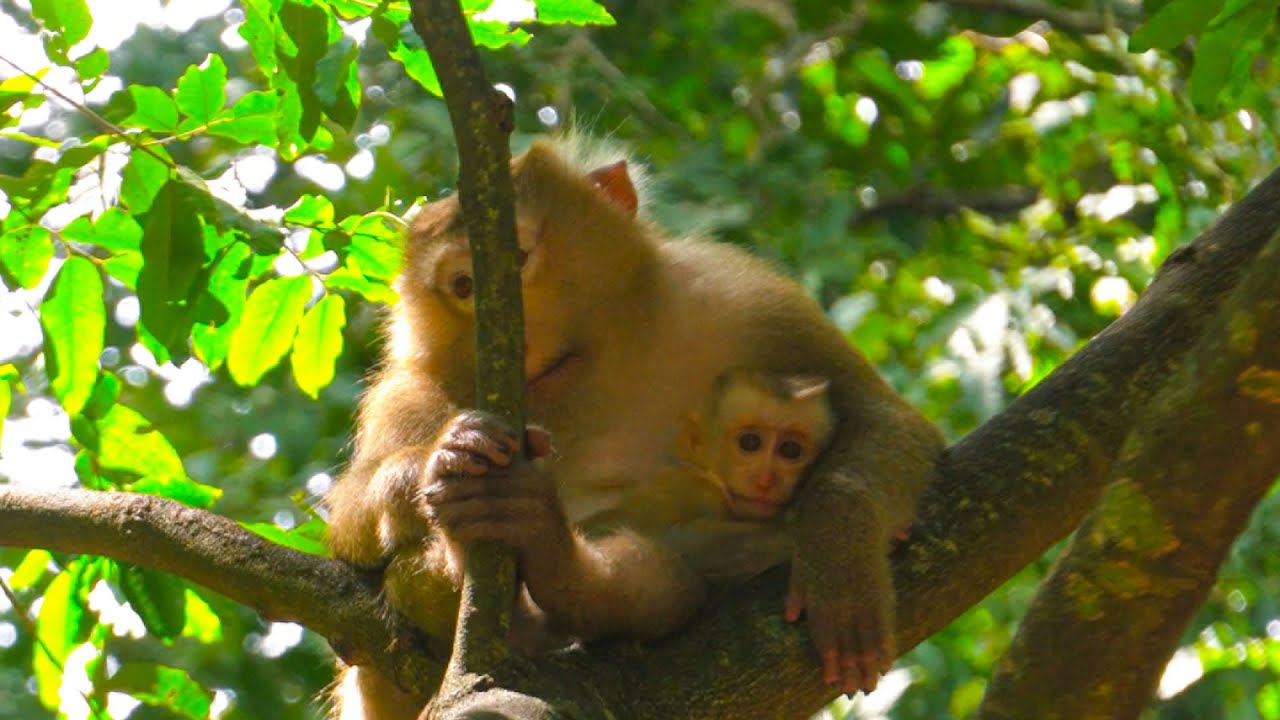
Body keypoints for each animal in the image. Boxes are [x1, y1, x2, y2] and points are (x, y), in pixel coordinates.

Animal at [324, 138, 944, 718]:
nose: (514, 338)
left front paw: (842, 568)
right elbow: (351, 527)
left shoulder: (746, 298)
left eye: (516, 257)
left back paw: (546, 551)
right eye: (463, 286)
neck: (590, 368)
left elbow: (888, 420)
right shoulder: (413, 385)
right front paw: (446, 456)